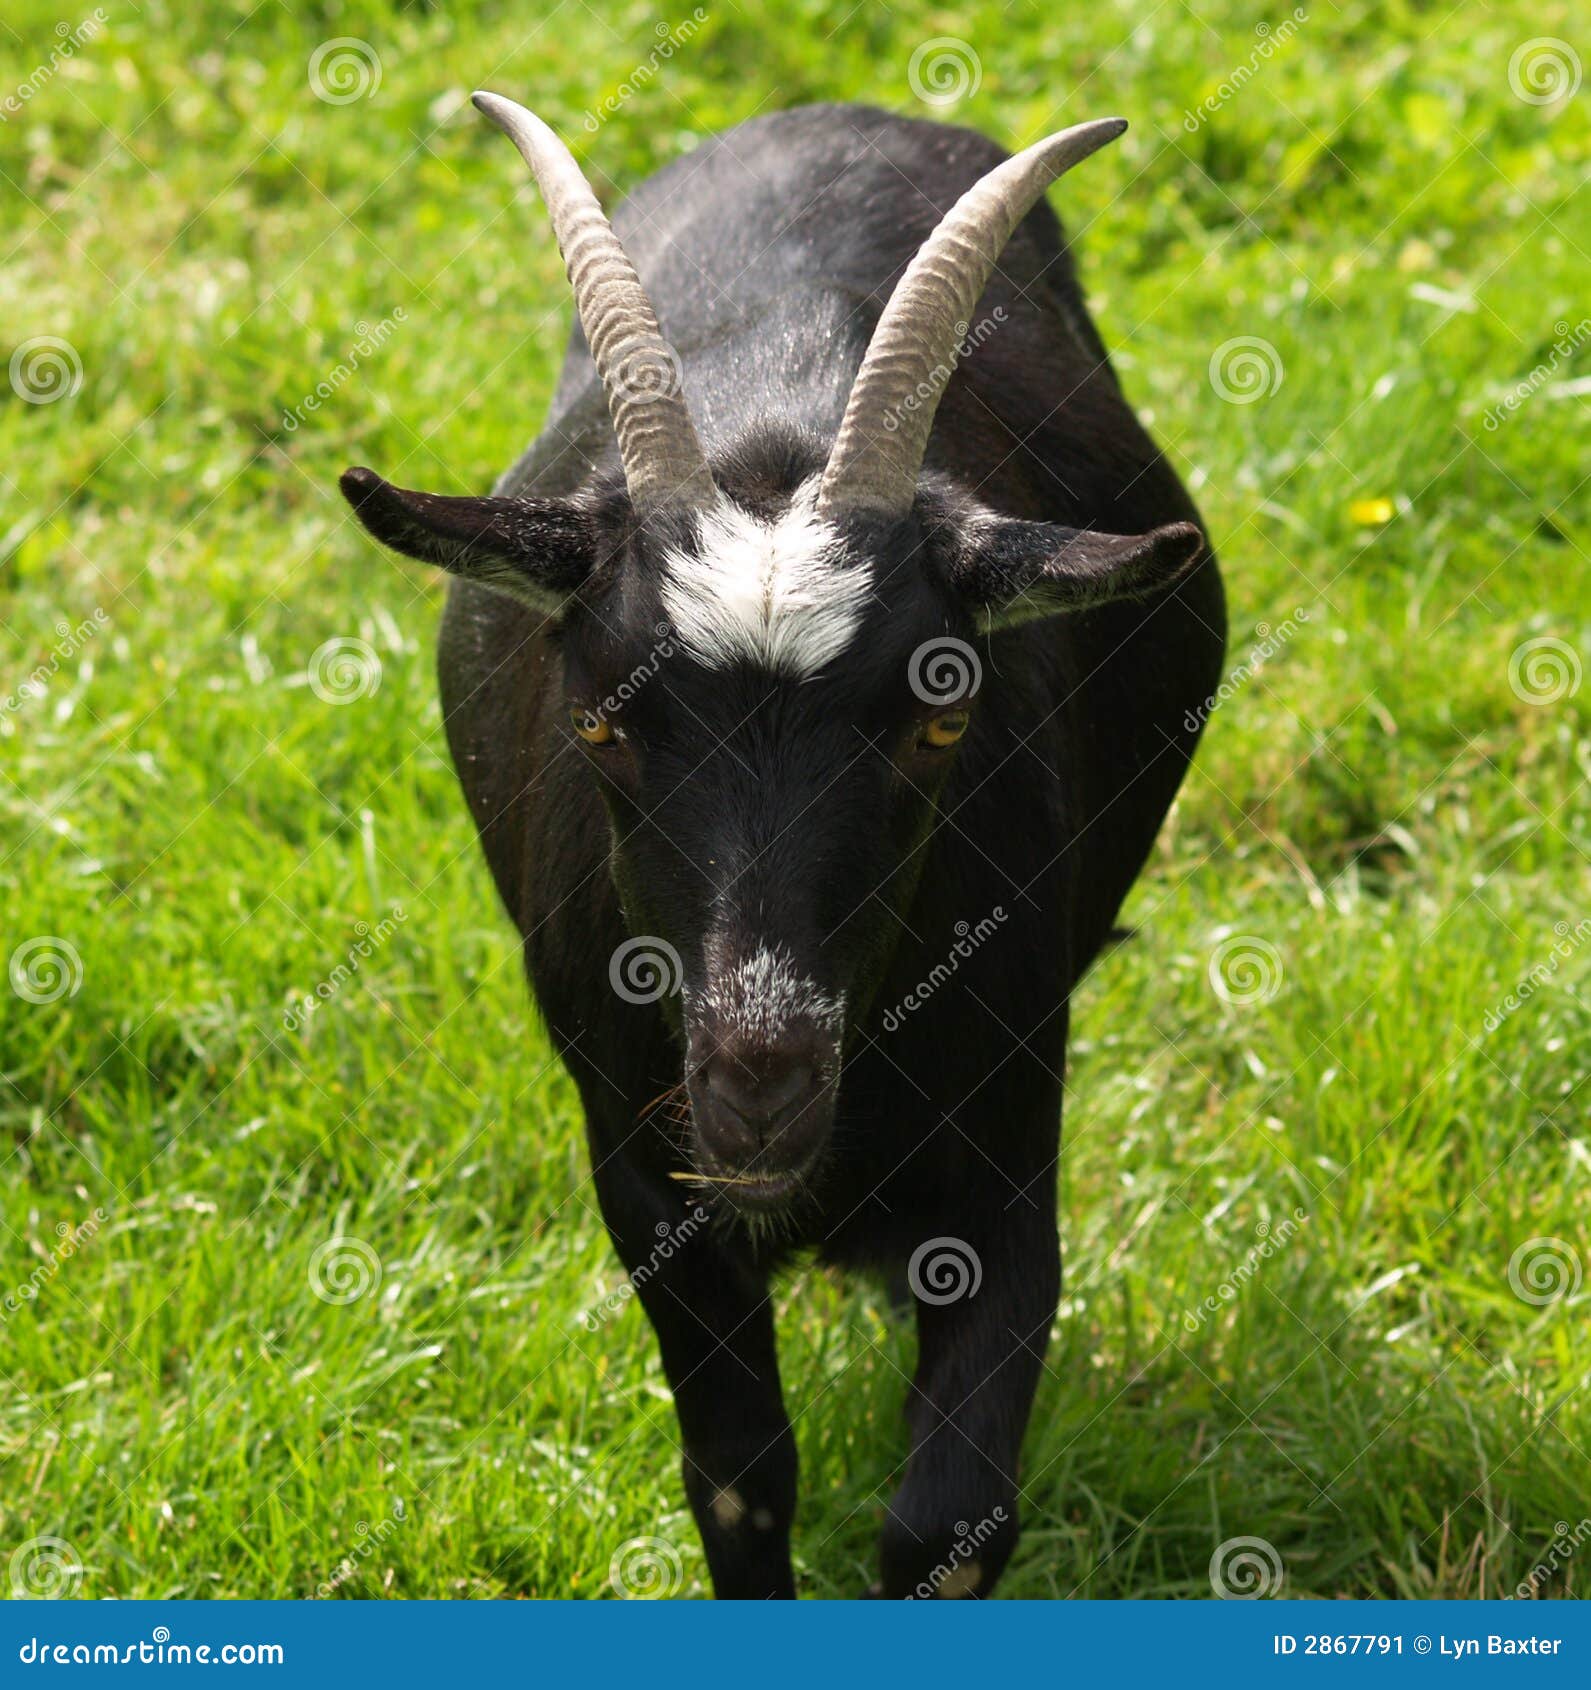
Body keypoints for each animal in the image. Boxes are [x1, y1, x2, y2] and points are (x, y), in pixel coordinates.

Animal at [341, 94, 1226, 1599]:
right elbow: (741, 1481)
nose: (757, 1080)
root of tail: (837, 113)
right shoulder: (644, 1178)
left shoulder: (1006, 1153)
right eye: (598, 721)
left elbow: (948, 1518)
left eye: (941, 714)